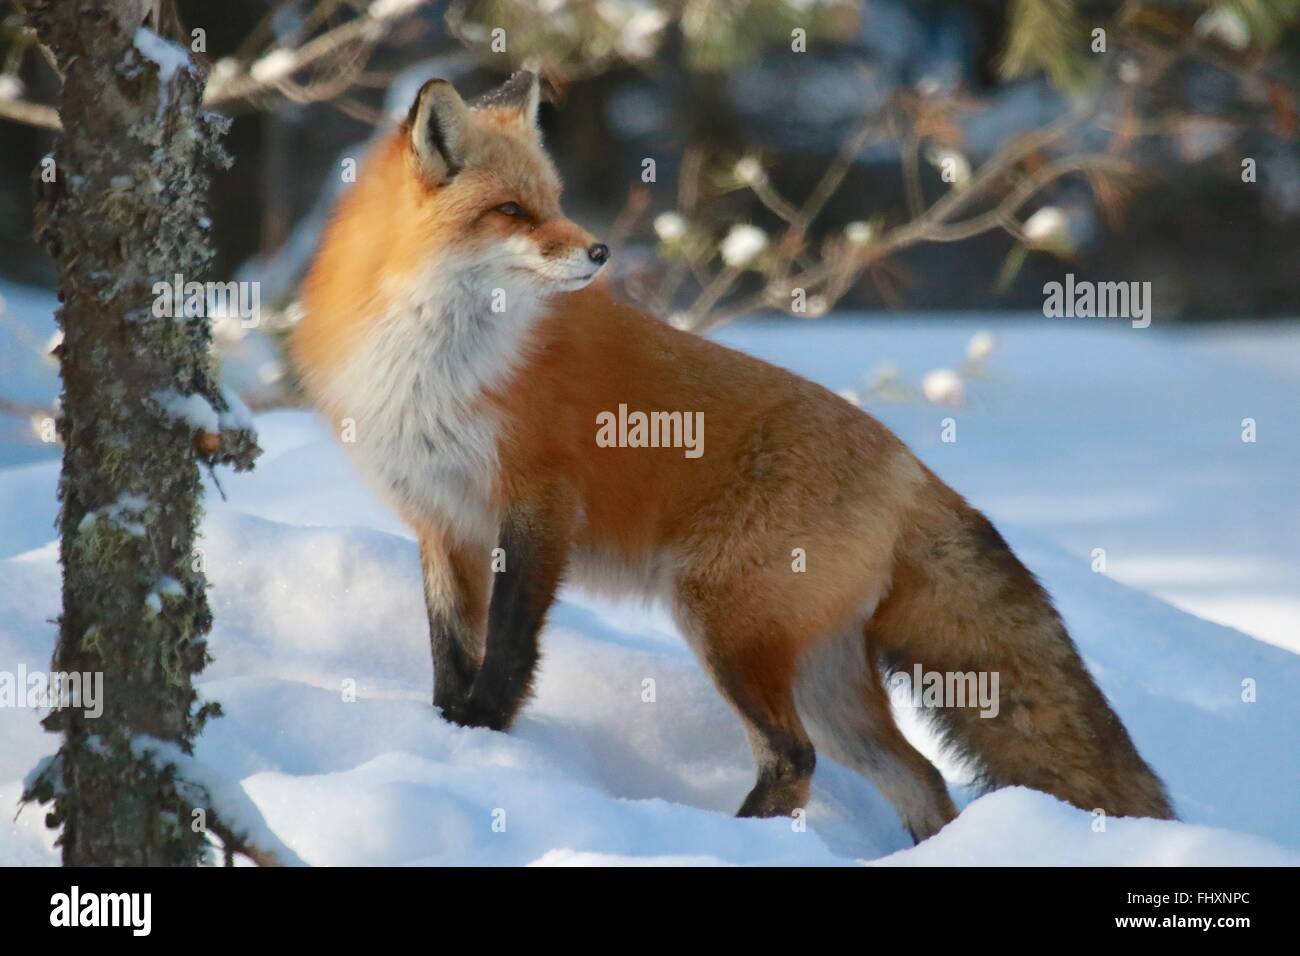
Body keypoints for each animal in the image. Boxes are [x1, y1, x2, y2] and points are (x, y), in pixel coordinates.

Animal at [294, 70, 1174, 840]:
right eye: (510, 210)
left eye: (555, 202)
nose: (600, 252)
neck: (434, 360)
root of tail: (909, 467)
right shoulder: (441, 517)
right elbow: (449, 648)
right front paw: (447, 732)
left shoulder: (537, 504)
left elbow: (507, 650)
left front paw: (483, 738)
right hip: (818, 673)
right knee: (916, 775)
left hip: (725, 626)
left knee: (796, 759)